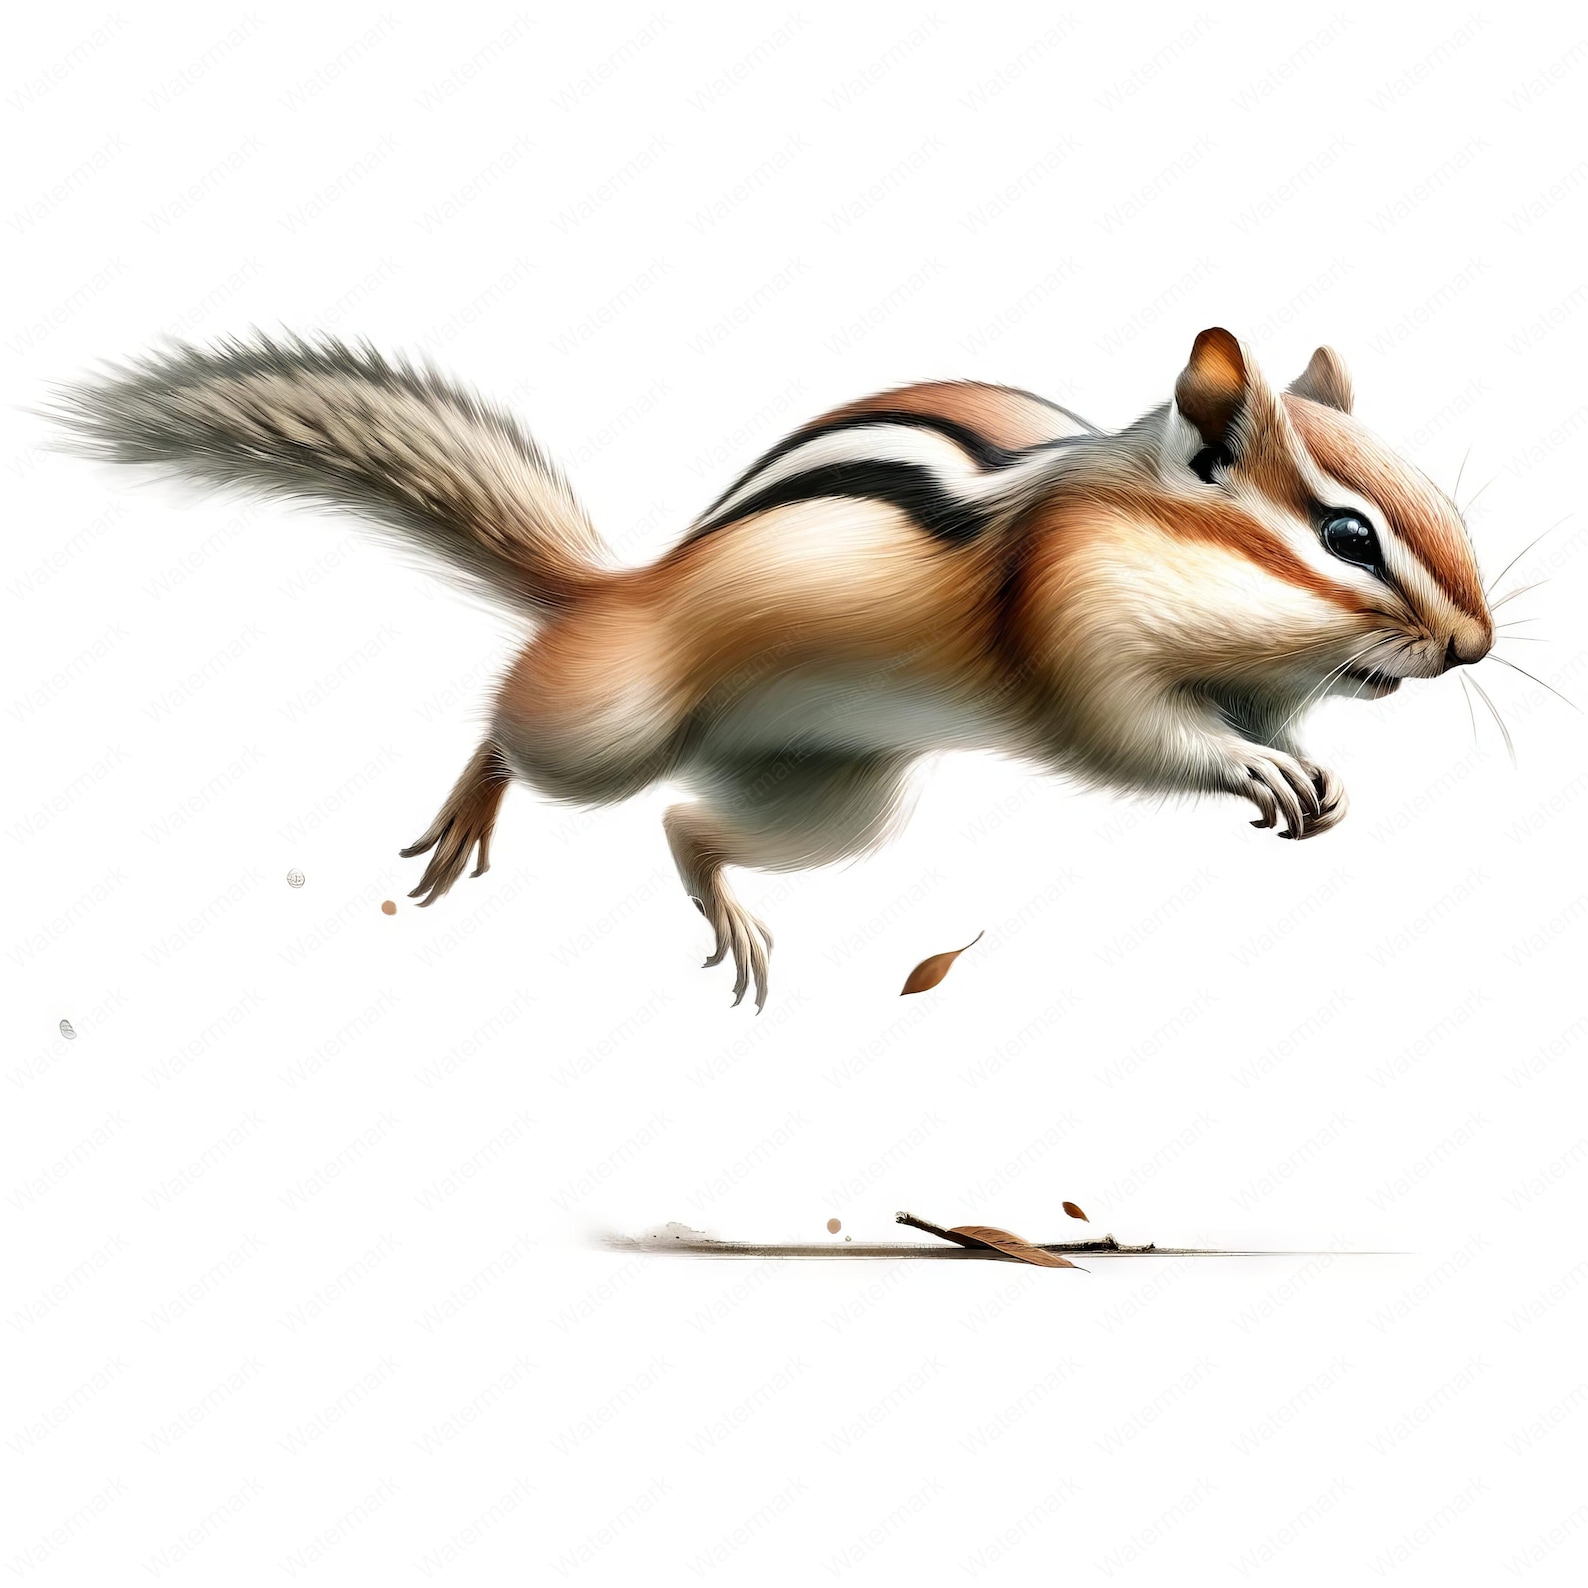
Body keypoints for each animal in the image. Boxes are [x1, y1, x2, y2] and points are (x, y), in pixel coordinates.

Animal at [55, 327, 1493, 1010]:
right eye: (1347, 535)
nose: (1473, 646)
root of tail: (619, 591)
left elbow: (1283, 733)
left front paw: (1317, 777)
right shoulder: (1074, 649)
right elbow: (1148, 737)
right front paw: (1254, 768)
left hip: (839, 793)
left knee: (691, 825)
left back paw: (724, 900)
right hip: (611, 724)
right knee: (520, 731)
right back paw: (473, 803)